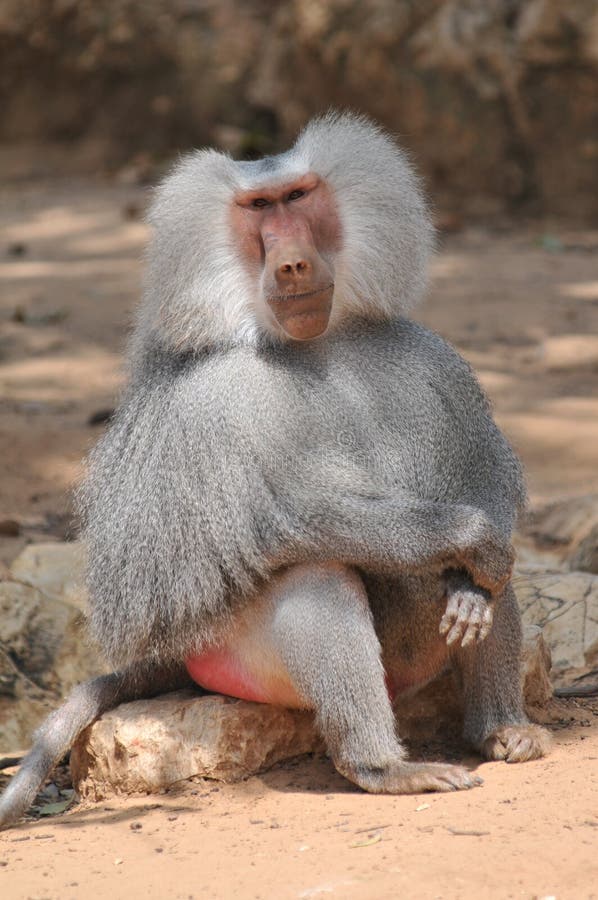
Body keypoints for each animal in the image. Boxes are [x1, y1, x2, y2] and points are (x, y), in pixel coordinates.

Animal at [0, 112, 551, 829]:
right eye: (258, 208)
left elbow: (491, 476)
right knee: (317, 572)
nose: (291, 262)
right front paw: (466, 539)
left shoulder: (435, 357)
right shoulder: (213, 400)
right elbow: (291, 519)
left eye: (298, 197)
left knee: (496, 568)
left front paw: (472, 584)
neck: (306, 343)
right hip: (234, 658)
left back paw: (501, 728)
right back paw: (383, 767)